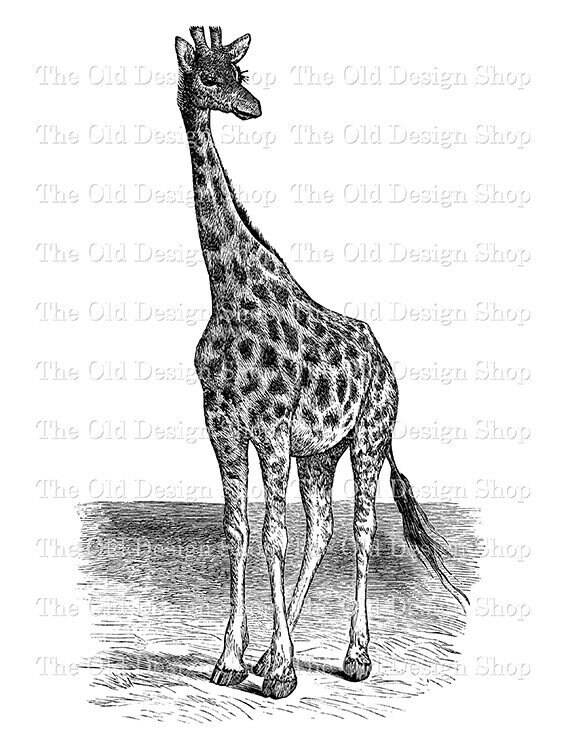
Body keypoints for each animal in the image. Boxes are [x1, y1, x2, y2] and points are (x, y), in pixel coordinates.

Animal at [175, 26, 467, 700]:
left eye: (238, 72)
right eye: (210, 76)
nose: (251, 106)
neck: (227, 289)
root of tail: (386, 364)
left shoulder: (271, 427)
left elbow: (272, 536)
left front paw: (279, 672)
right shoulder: (222, 425)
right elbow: (240, 533)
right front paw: (235, 661)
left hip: (367, 438)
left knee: (360, 530)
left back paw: (356, 657)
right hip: (320, 452)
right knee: (322, 530)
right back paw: (278, 656)